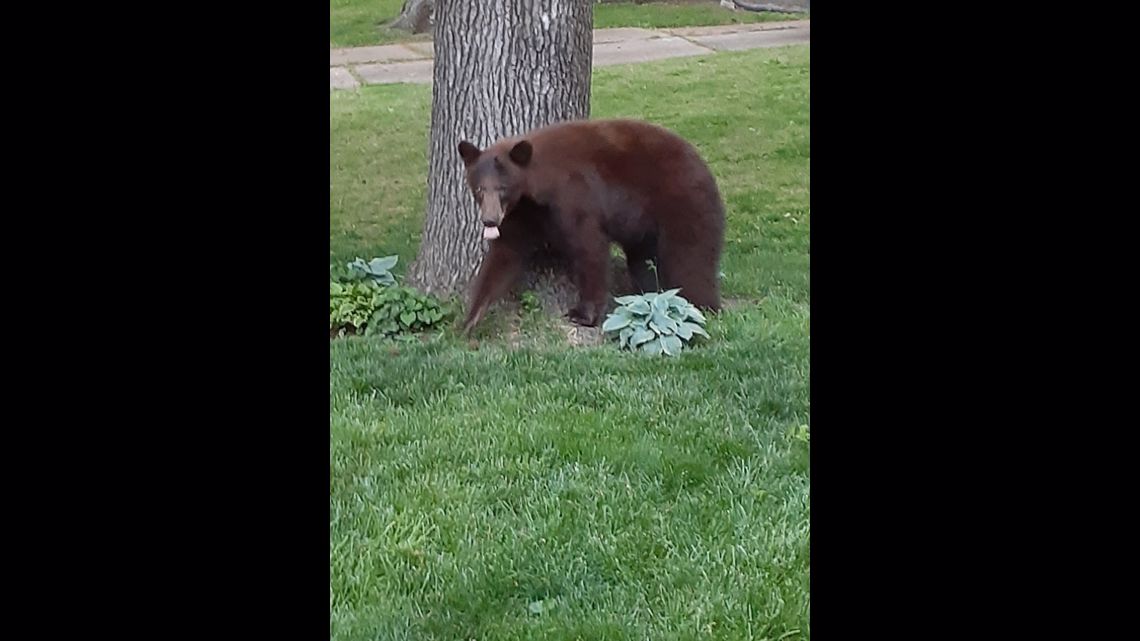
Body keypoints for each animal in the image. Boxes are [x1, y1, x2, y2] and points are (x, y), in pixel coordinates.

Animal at [457, 118, 725, 333]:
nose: (490, 220)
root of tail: (704, 166)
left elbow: (589, 248)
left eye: (502, 188)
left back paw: (703, 307)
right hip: (645, 233)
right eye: (480, 188)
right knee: (644, 263)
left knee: (690, 259)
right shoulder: (521, 213)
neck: (535, 190)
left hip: (683, 202)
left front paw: (583, 314)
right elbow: (504, 254)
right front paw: (470, 319)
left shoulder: (573, 195)